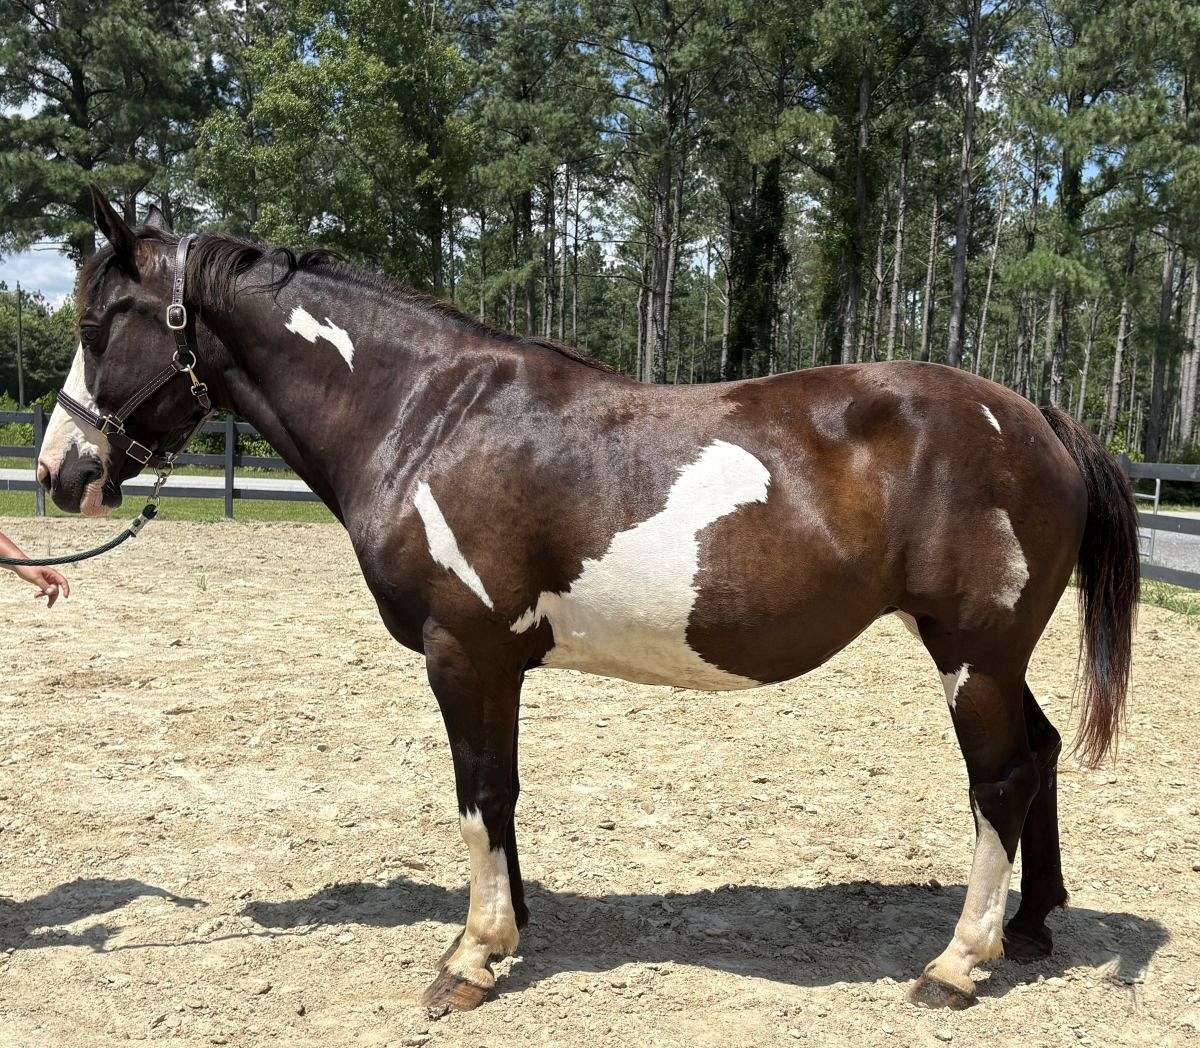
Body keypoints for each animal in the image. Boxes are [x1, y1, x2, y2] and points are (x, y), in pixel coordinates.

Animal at [37, 187, 1139, 1012]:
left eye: (95, 323)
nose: (60, 470)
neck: (426, 413)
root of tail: (1033, 416)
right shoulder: (496, 663)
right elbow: (502, 796)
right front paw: (509, 928)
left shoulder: (464, 650)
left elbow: (479, 795)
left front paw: (471, 957)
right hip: (993, 657)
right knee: (1041, 754)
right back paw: (1030, 926)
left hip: (971, 653)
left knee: (1000, 779)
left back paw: (958, 962)